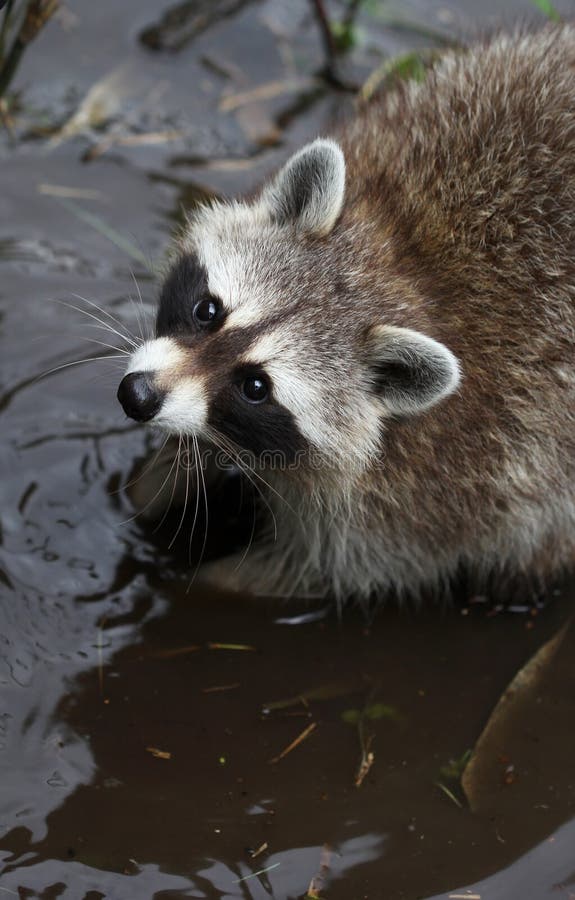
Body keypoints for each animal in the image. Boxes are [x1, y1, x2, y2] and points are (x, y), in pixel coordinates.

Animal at [117, 25, 575, 605]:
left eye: (256, 386)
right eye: (207, 310)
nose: (137, 395)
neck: (396, 268)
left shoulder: (444, 490)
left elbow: (323, 569)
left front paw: (192, 581)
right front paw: (162, 477)